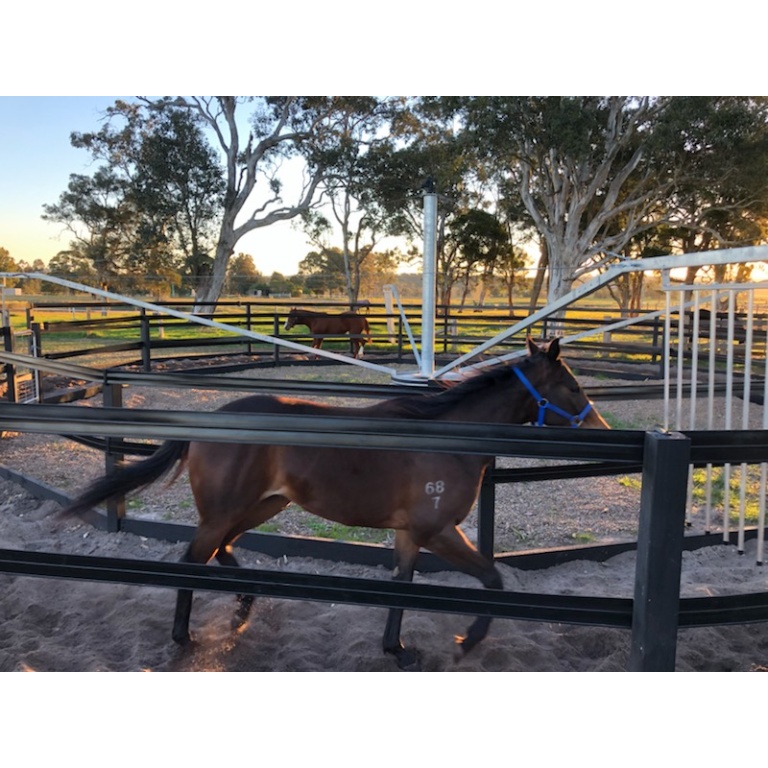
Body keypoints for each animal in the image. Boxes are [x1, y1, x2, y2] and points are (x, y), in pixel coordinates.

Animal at [66, 337, 609, 671]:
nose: (603, 431)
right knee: (193, 559)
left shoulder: (411, 534)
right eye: (573, 386)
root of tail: (209, 423)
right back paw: (185, 637)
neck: (445, 438)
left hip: (262, 506)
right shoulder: (438, 530)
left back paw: (245, 604)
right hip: (226, 511)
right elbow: (493, 580)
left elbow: (403, 586)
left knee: (223, 550)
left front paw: (397, 648)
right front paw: (466, 642)